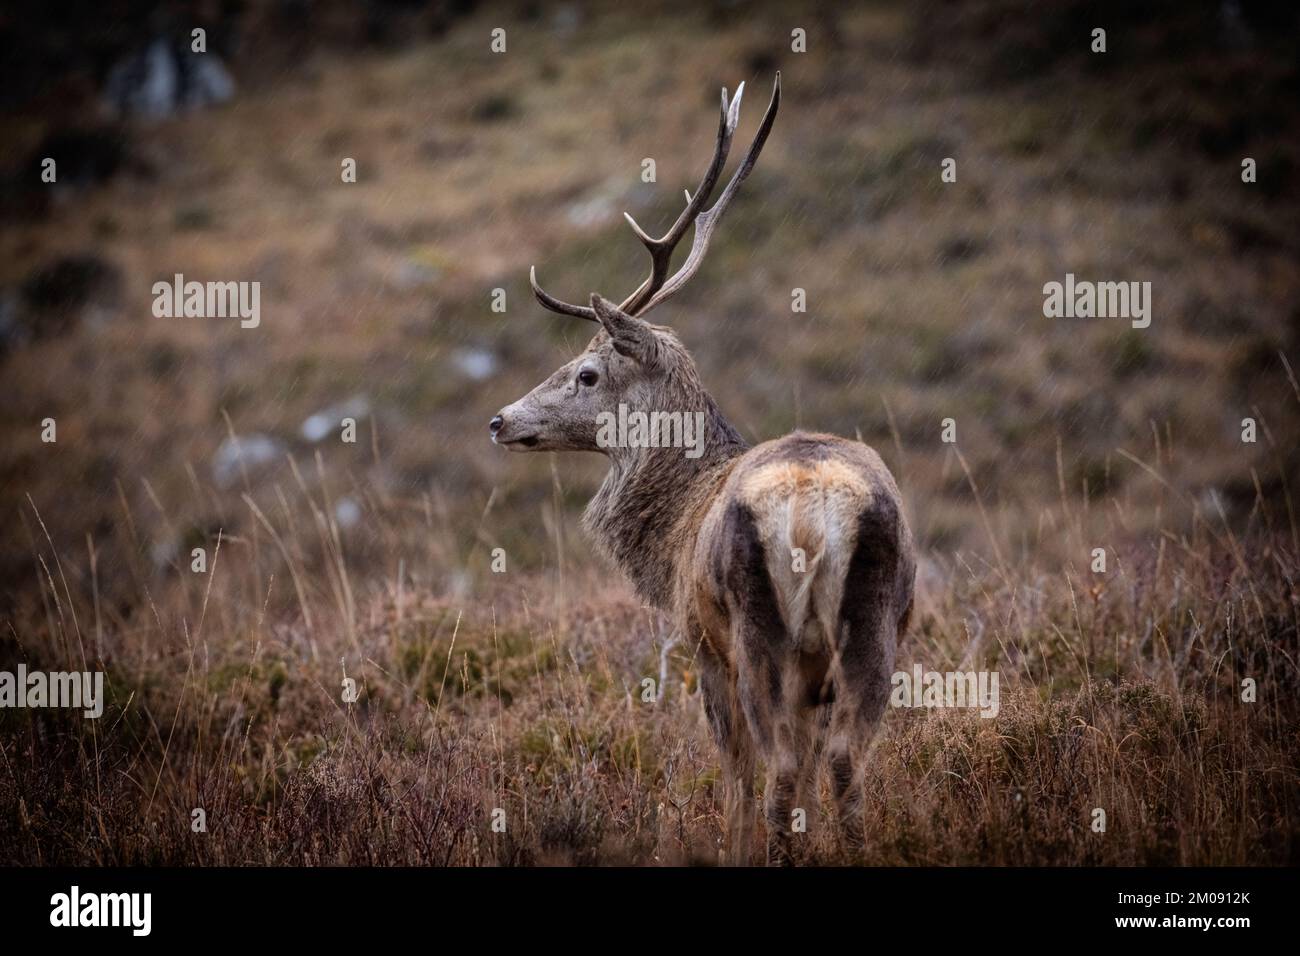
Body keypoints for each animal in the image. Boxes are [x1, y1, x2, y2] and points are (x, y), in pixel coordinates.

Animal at [489, 74, 915, 865]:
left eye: (588, 373)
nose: (500, 419)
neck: (675, 524)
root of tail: (815, 509)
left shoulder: (700, 642)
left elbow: (735, 773)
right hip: (877, 622)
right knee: (843, 756)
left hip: (760, 633)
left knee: (778, 763)